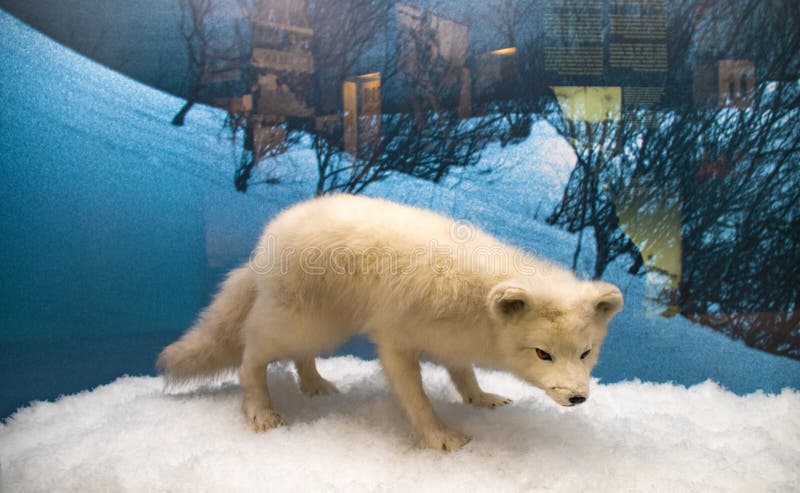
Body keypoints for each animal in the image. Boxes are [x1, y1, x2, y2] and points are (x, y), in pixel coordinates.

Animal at [157, 194, 623, 451]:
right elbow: (416, 398)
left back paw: (315, 385)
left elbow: (464, 375)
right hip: (301, 322)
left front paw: (481, 398)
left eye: (586, 353)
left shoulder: (453, 343)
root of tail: (262, 246)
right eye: (543, 354)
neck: (478, 303)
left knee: (299, 357)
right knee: (251, 355)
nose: (578, 397)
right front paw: (440, 438)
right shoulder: (396, 342)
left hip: (322, 324)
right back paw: (260, 409)